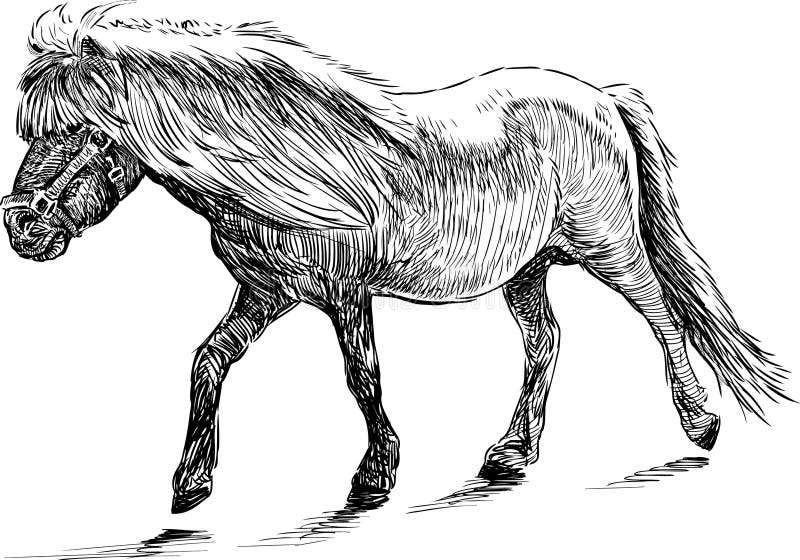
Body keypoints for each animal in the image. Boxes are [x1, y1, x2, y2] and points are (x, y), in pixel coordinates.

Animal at [2, 4, 791, 514]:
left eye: (82, 132)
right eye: (33, 131)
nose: (21, 230)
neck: (284, 158)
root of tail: (601, 96)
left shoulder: (345, 294)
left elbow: (362, 377)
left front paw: (374, 476)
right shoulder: (267, 292)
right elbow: (207, 362)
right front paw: (191, 483)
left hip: (609, 248)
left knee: (662, 318)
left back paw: (700, 424)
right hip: (528, 267)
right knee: (545, 341)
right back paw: (510, 453)